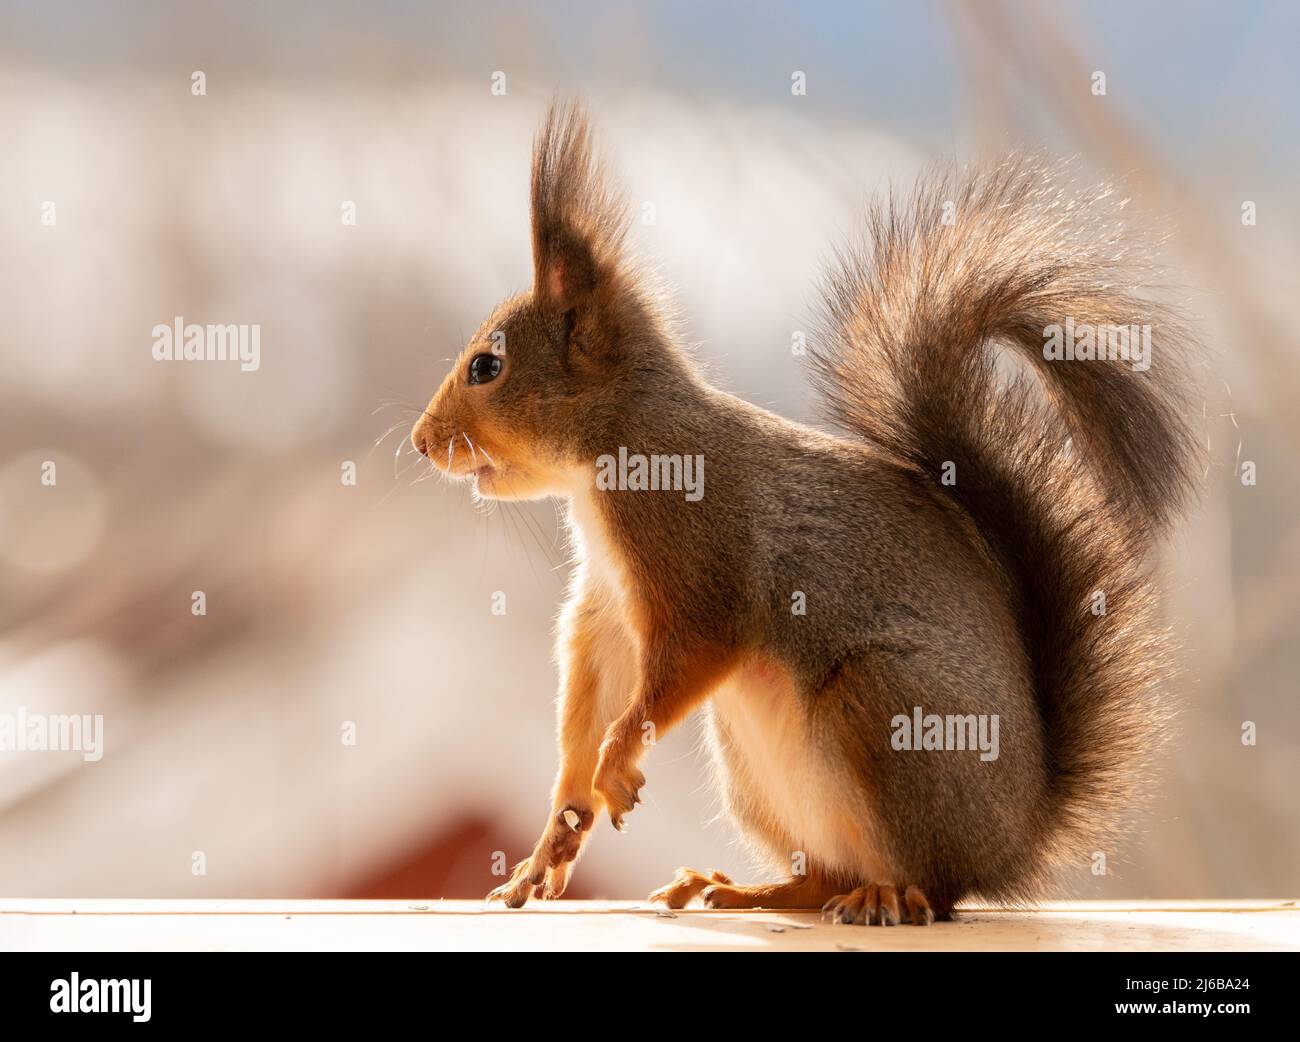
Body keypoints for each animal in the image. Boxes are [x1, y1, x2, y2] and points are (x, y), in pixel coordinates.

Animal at [409, 101, 1199, 924]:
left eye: (487, 366)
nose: (421, 443)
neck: (616, 452)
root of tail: (1012, 840)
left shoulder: (695, 555)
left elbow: (683, 660)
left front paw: (617, 764)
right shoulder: (610, 607)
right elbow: (596, 693)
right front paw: (555, 837)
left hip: (884, 712)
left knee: (934, 885)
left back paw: (889, 894)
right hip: (751, 760)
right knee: (820, 876)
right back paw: (740, 889)